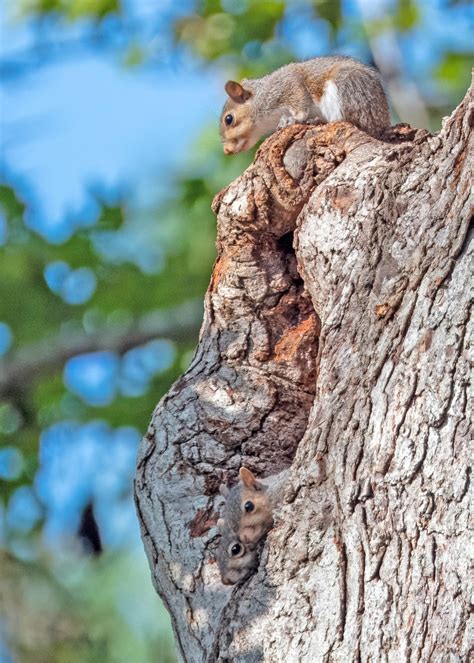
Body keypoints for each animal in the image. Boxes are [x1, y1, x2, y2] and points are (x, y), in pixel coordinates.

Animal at [220, 55, 390, 154]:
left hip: (348, 85)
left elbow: (300, 102)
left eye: (229, 119)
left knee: (353, 121)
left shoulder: (287, 85)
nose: (227, 150)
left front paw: (293, 119)